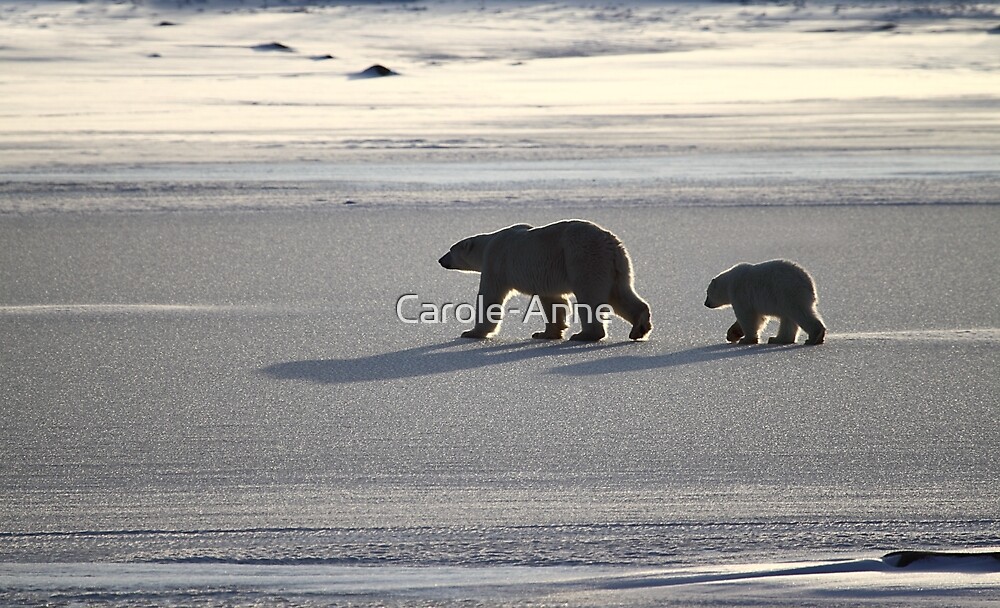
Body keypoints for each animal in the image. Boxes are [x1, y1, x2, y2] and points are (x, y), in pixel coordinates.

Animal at [438, 219, 652, 341]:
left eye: (450, 250)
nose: (441, 260)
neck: (489, 242)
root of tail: (611, 242)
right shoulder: (546, 277)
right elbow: (554, 301)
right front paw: (546, 333)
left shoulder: (496, 261)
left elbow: (490, 296)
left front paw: (471, 332)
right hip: (616, 265)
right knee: (620, 294)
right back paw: (639, 327)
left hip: (583, 258)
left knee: (590, 297)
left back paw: (585, 335)